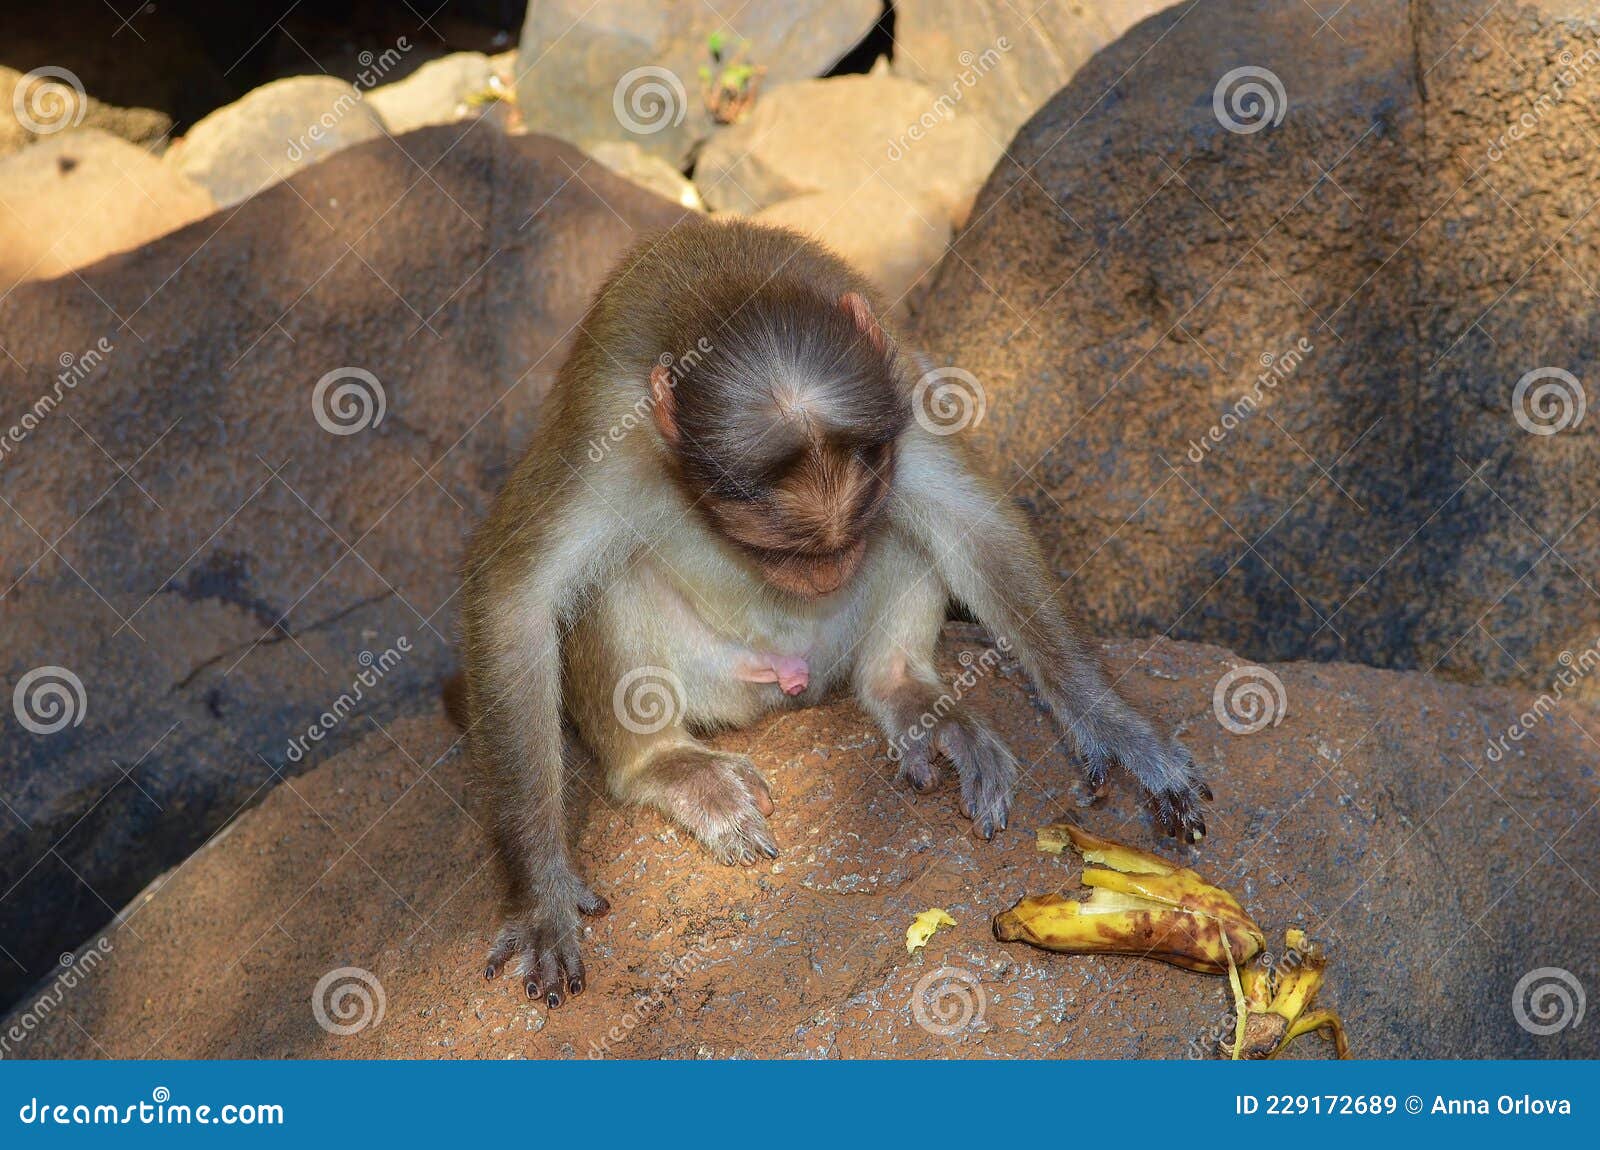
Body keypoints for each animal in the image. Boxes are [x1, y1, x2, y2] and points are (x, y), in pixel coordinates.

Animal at [459, 216, 1209, 1007]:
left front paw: (1113, 725)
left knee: (910, 530)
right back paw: (664, 762)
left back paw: (903, 689)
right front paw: (541, 893)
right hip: (715, 680)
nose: (828, 574)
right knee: (606, 575)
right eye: (779, 549)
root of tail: (794, 679)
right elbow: (513, 596)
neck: (727, 288)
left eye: (844, 535)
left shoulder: (898, 385)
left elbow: (971, 523)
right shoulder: (610, 428)